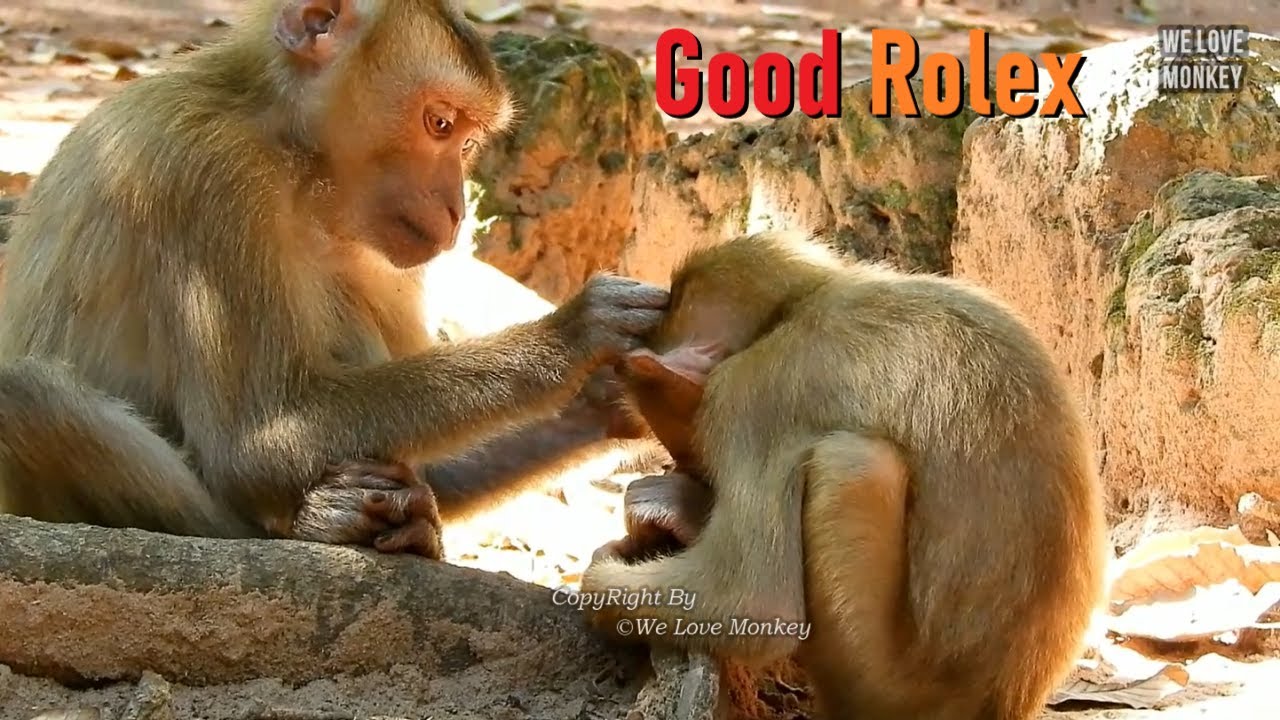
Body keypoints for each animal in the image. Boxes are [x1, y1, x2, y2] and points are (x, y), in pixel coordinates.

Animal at [0, 0, 670, 560]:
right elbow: (254, 441)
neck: (291, 154)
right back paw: (317, 522)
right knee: (27, 395)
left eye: (466, 140)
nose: (457, 208)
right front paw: (573, 334)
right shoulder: (209, 172)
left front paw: (606, 405)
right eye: (439, 124)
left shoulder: (385, 256)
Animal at [578, 230, 1109, 720]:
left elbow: (754, 604)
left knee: (851, 461)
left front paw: (608, 569)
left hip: (884, 688)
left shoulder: (749, 397)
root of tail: (1002, 705)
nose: (687, 468)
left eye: (693, 445)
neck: (802, 302)